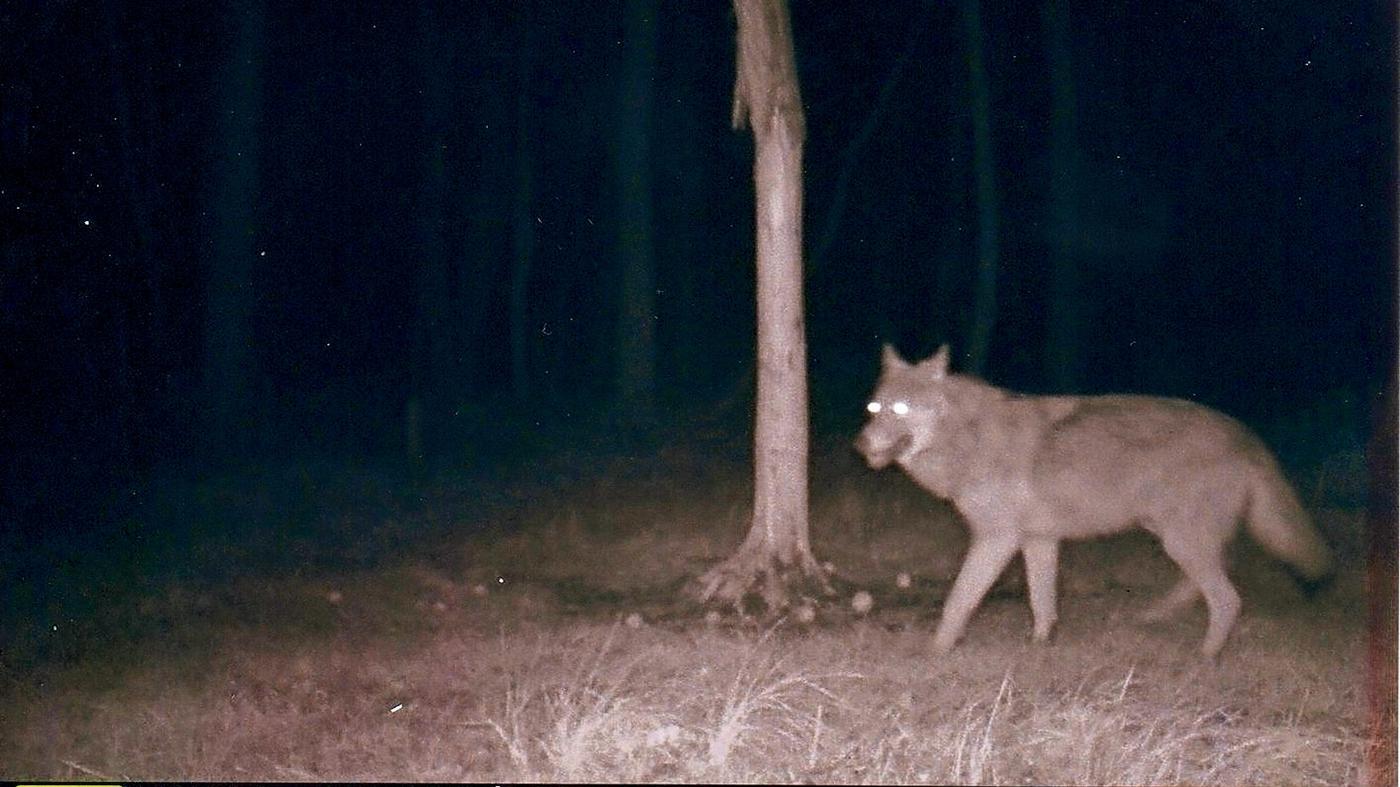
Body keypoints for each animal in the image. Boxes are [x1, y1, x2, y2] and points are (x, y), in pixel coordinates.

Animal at [855, 344, 1333, 658]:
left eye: (901, 409)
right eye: (874, 407)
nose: (860, 445)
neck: (967, 439)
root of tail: (1247, 436)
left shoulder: (997, 539)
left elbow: (959, 600)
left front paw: (936, 652)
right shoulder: (1038, 540)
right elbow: (1042, 601)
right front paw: (1040, 644)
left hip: (1179, 539)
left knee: (1228, 598)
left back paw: (1206, 655)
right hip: (1176, 537)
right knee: (1210, 582)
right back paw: (1153, 617)